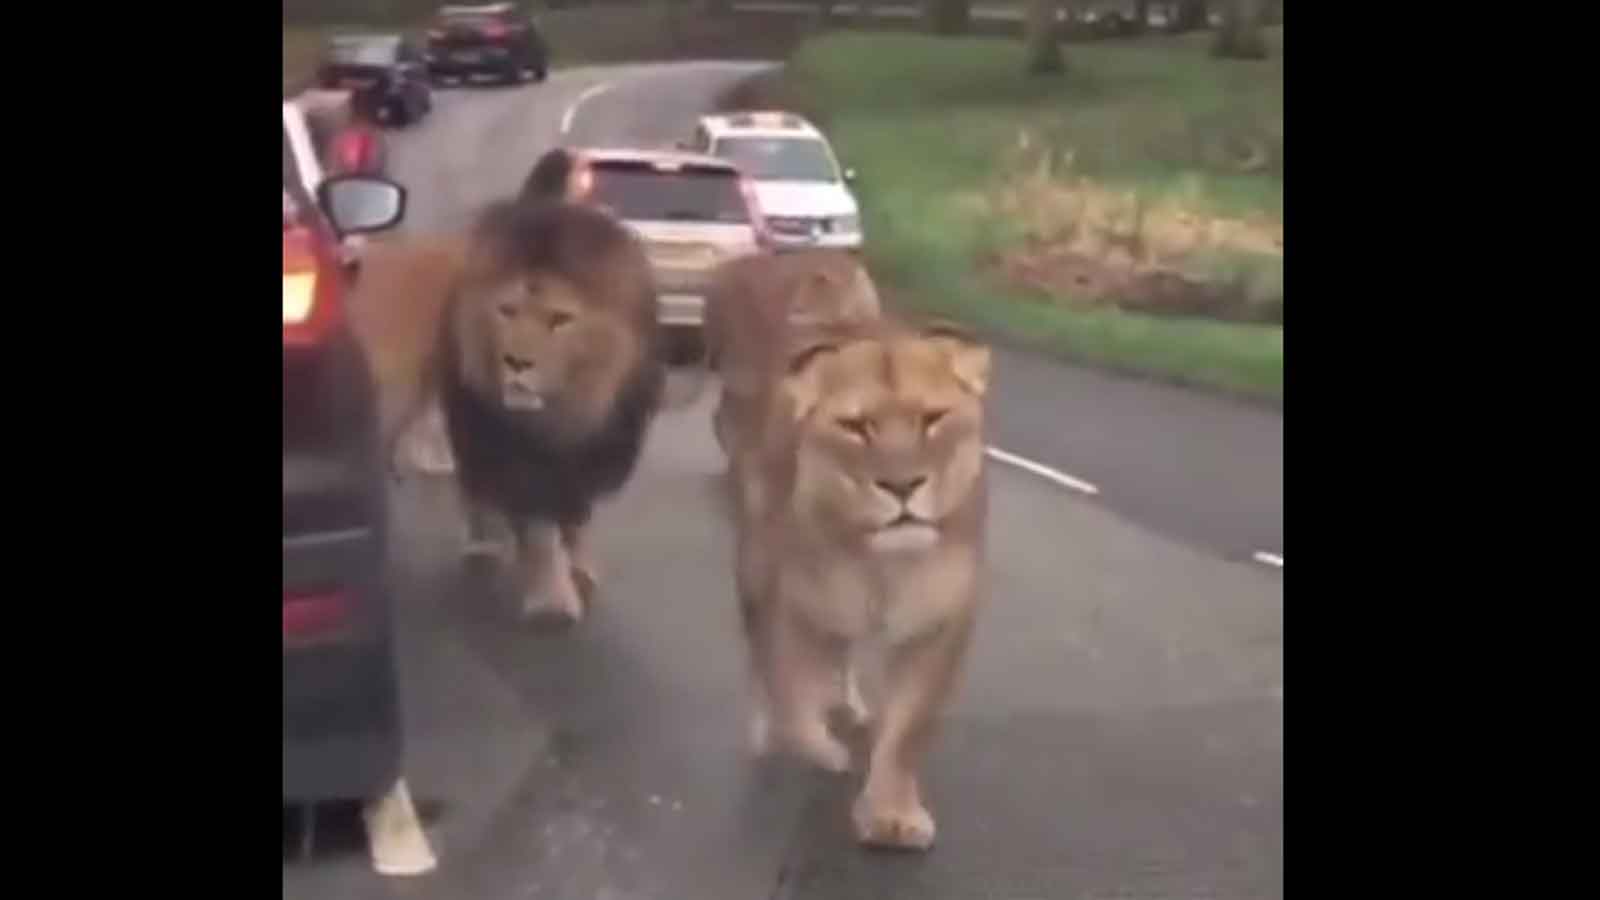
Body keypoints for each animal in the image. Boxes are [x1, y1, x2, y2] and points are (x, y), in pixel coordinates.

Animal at [346, 199, 664, 623]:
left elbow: (575, 517)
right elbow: (540, 527)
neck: (563, 414)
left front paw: (580, 567)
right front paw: (551, 601)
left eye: (560, 318)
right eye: (507, 310)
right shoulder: (513, 454)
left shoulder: (595, 453)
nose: (516, 363)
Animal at [731, 317, 992, 851]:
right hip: (753, 563)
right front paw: (824, 752)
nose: (902, 485)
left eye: (933, 419)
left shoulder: (938, 628)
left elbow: (908, 731)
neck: (880, 564)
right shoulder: (786, 606)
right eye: (855, 427)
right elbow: (790, 698)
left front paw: (893, 816)